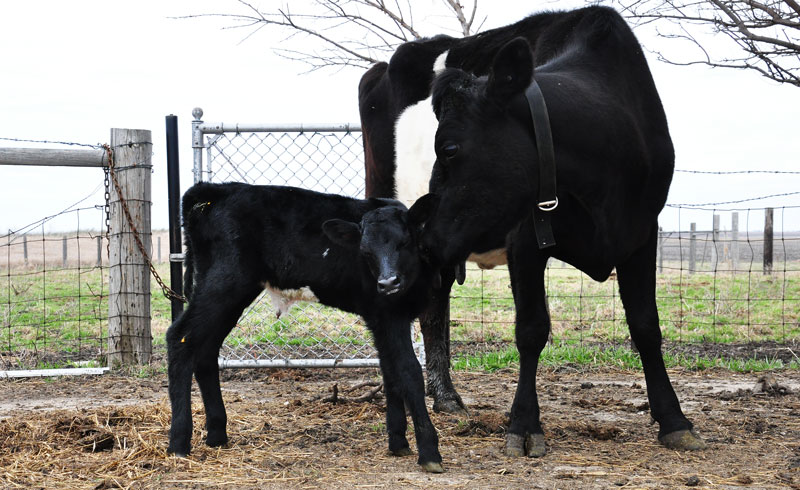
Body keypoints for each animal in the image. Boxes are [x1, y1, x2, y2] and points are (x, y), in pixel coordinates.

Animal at [166, 182, 444, 472]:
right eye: (365, 252)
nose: (388, 283)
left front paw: (398, 441)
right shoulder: (389, 315)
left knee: (205, 350)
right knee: (181, 338)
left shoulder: (380, 318)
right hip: (224, 283)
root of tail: (212, 190)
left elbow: (390, 372)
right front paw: (429, 451)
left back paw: (217, 434)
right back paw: (179, 443)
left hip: (233, 293)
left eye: (404, 242)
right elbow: (409, 372)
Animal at [413, 6, 706, 456]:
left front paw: (674, 419)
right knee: (427, 311)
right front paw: (524, 425)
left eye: (448, 148)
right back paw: (438, 395)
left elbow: (646, 326)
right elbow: (532, 329)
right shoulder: (525, 241)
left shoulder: (642, 234)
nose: (426, 238)